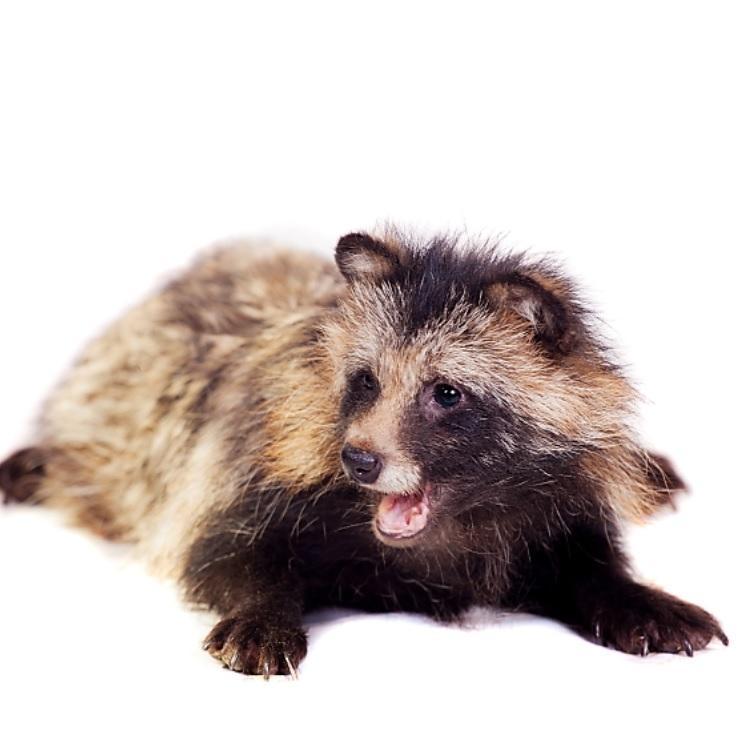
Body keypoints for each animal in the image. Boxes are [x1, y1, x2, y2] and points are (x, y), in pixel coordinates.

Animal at [0, 229, 727, 677]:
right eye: (365, 380)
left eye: (446, 393)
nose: (360, 462)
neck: (455, 525)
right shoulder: (246, 472)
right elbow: (220, 552)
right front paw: (261, 611)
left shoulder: (559, 504)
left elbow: (590, 564)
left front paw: (637, 596)